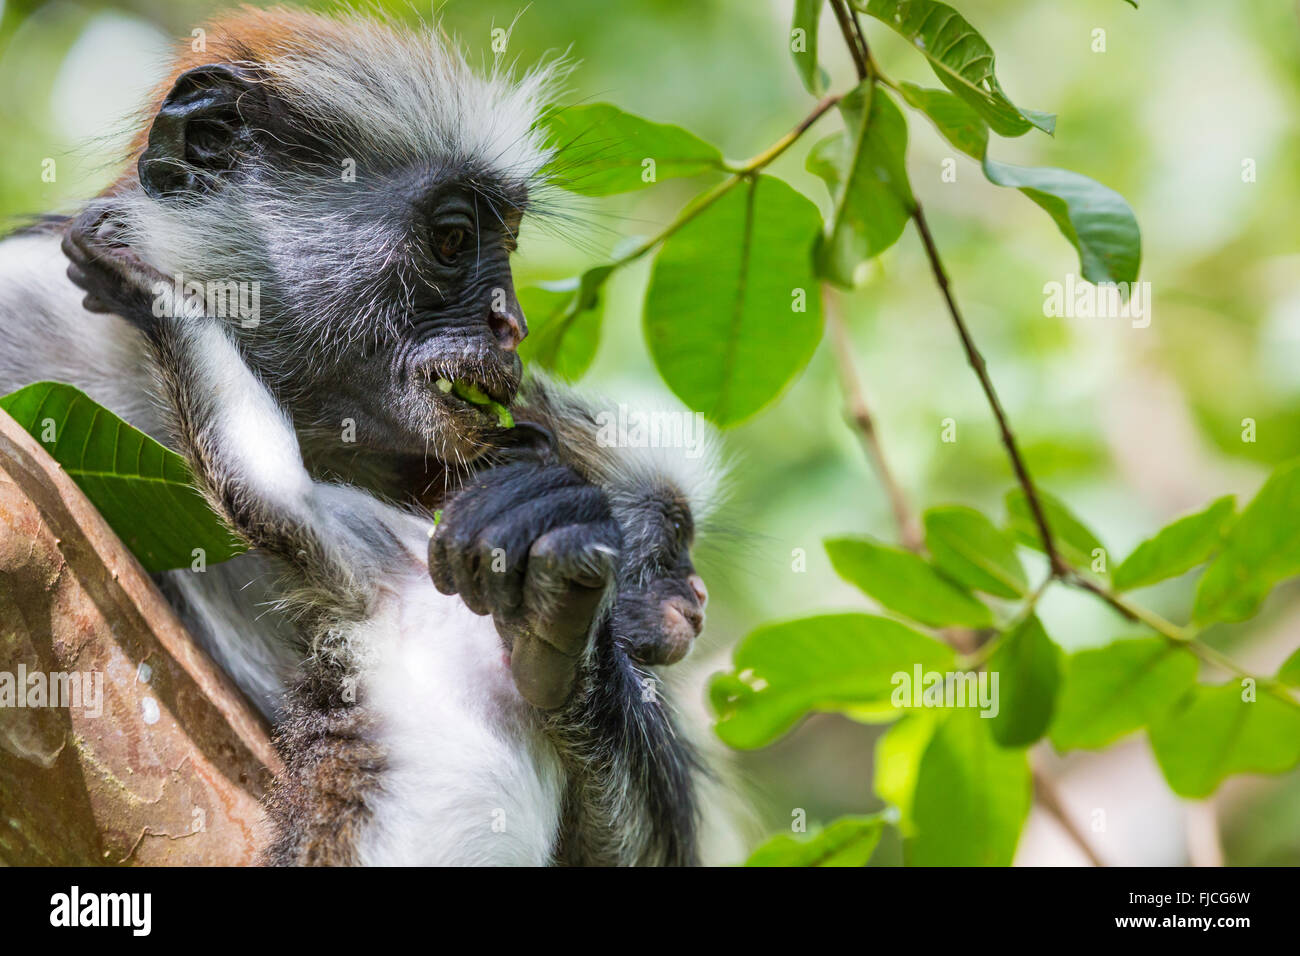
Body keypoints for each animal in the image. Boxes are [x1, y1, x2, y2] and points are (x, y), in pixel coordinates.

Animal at [62, 202, 716, 864]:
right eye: (672, 541)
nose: (700, 594)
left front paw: (556, 638)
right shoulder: (386, 559)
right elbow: (270, 488)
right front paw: (144, 291)